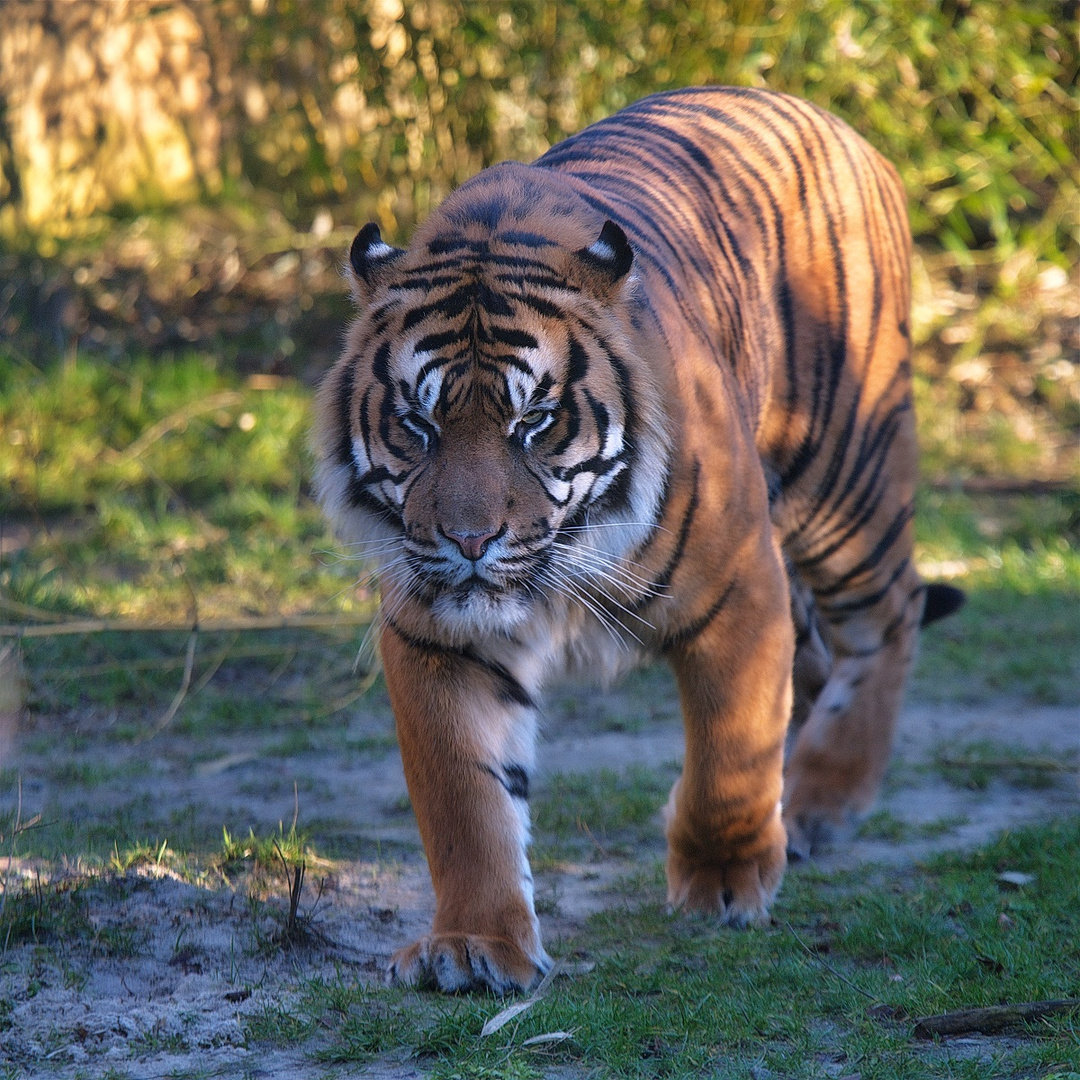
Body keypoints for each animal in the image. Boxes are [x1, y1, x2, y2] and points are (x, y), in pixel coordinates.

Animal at [313, 86, 963, 995]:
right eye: (418, 424)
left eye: (534, 422)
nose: (470, 541)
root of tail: (838, 125)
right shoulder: (434, 634)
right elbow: (465, 801)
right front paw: (474, 943)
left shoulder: (740, 589)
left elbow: (730, 750)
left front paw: (724, 880)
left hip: (847, 471)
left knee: (890, 613)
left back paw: (823, 800)